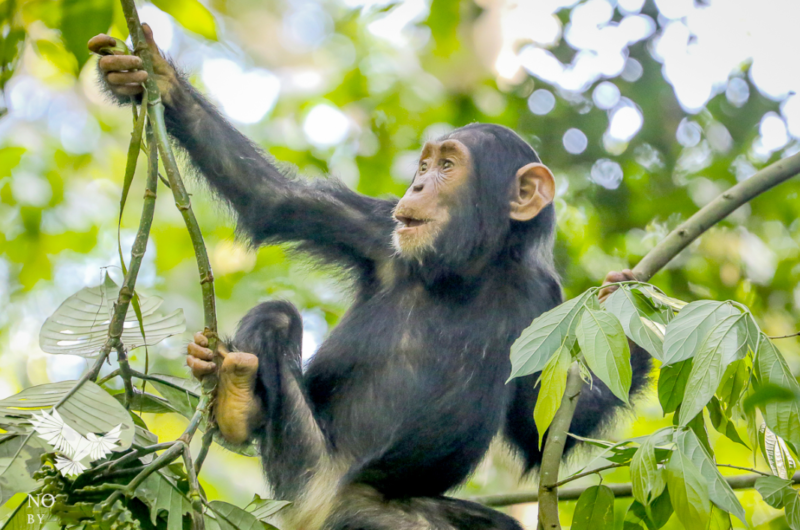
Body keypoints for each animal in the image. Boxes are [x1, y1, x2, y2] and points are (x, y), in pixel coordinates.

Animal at [89, 28, 650, 530]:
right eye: (425, 165)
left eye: (448, 166)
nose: (418, 184)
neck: (466, 268)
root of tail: (313, 510)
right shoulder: (377, 230)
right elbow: (272, 201)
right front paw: (153, 75)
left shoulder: (544, 299)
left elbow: (542, 429)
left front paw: (632, 314)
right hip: (306, 470)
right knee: (277, 319)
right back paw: (235, 400)